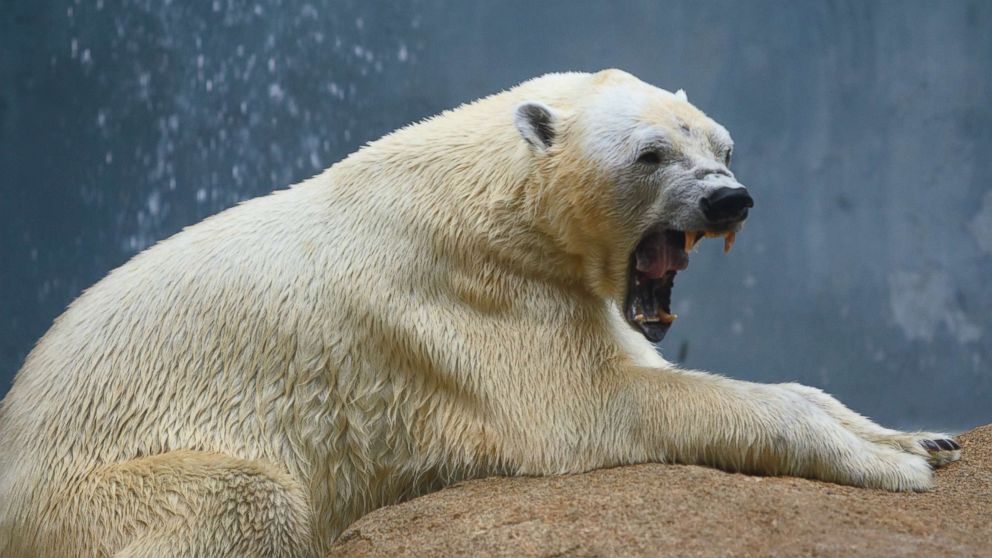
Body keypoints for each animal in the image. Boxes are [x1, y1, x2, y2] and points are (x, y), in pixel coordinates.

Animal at [0, 69, 961, 557]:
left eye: (723, 144)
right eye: (651, 153)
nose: (730, 198)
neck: (489, 199)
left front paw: (922, 436)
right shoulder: (471, 297)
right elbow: (597, 406)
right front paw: (890, 464)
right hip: (83, 498)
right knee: (246, 500)